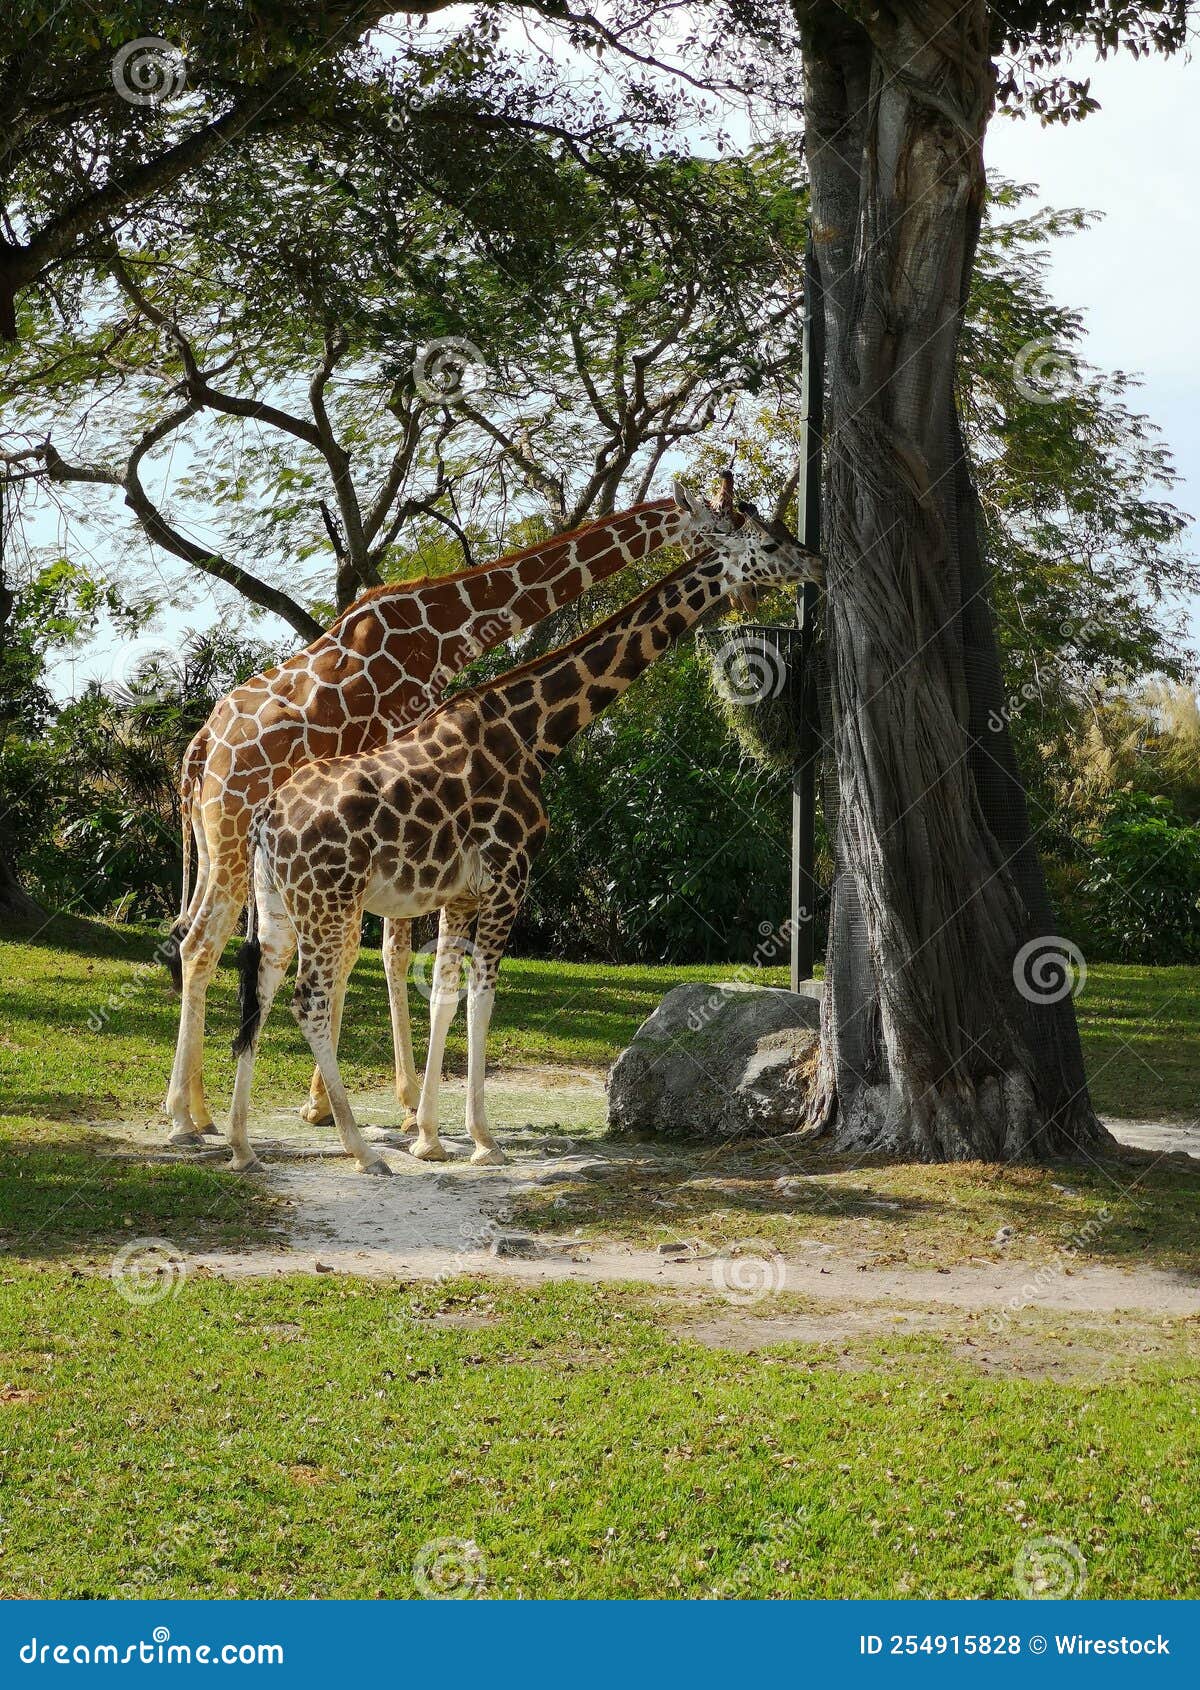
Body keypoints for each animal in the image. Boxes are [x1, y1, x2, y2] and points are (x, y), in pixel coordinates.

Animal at [224, 486, 822, 1175]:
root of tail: (266, 818)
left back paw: (241, 1146)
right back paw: (359, 1149)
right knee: (309, 1001)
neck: (533, 731)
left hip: (277, 904)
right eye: (771, 542)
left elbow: (445, 997)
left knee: (260, 988)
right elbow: (483, 997)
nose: (818, 563)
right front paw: (482, 1140)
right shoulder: (511, 878)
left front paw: (429, 1136)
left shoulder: (460, 893)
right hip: (329, 904)